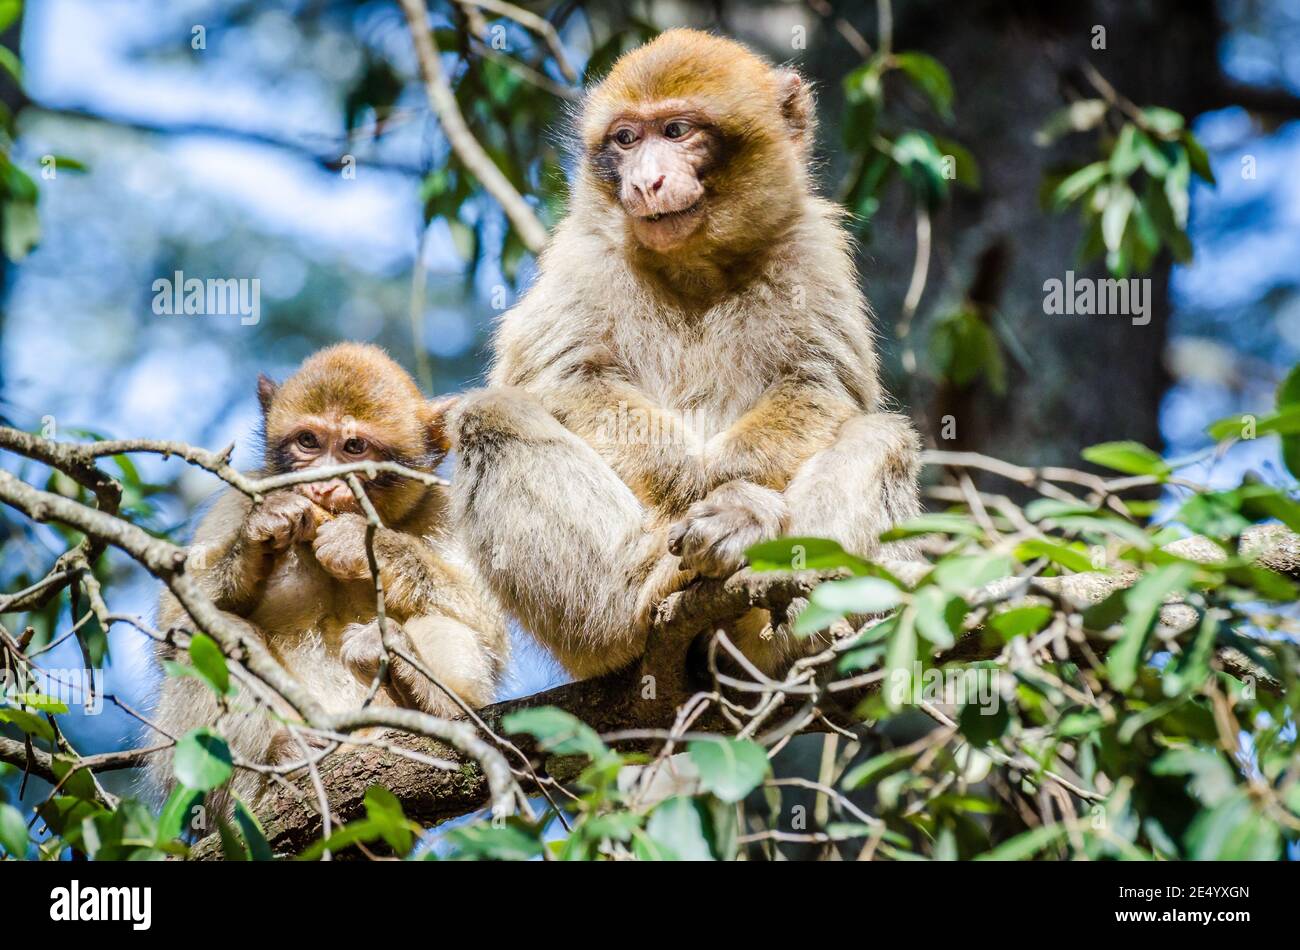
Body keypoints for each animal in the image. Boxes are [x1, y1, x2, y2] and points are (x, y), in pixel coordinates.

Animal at [145, 343, 508, 813]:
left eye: (354, 446)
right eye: (308, 441)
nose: (321, 485)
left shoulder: (444, 508)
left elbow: (490, 625)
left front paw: (360, 542)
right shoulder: (242, 496)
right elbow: (174, 621)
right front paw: (263, 530)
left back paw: (432, 703)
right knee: (211, 635)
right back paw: (277, 760)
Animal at [449, 29, 920, 681]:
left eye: (675, 131)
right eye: (627, 139)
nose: (645, 182)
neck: (694, 261)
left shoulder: (811, 250)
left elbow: (818, 385)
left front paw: (735, 504)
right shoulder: (583, 252)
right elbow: (563, 377)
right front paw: (699, 485)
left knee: (881, 437)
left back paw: (786, 621)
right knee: (493, 420)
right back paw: (641, 592)